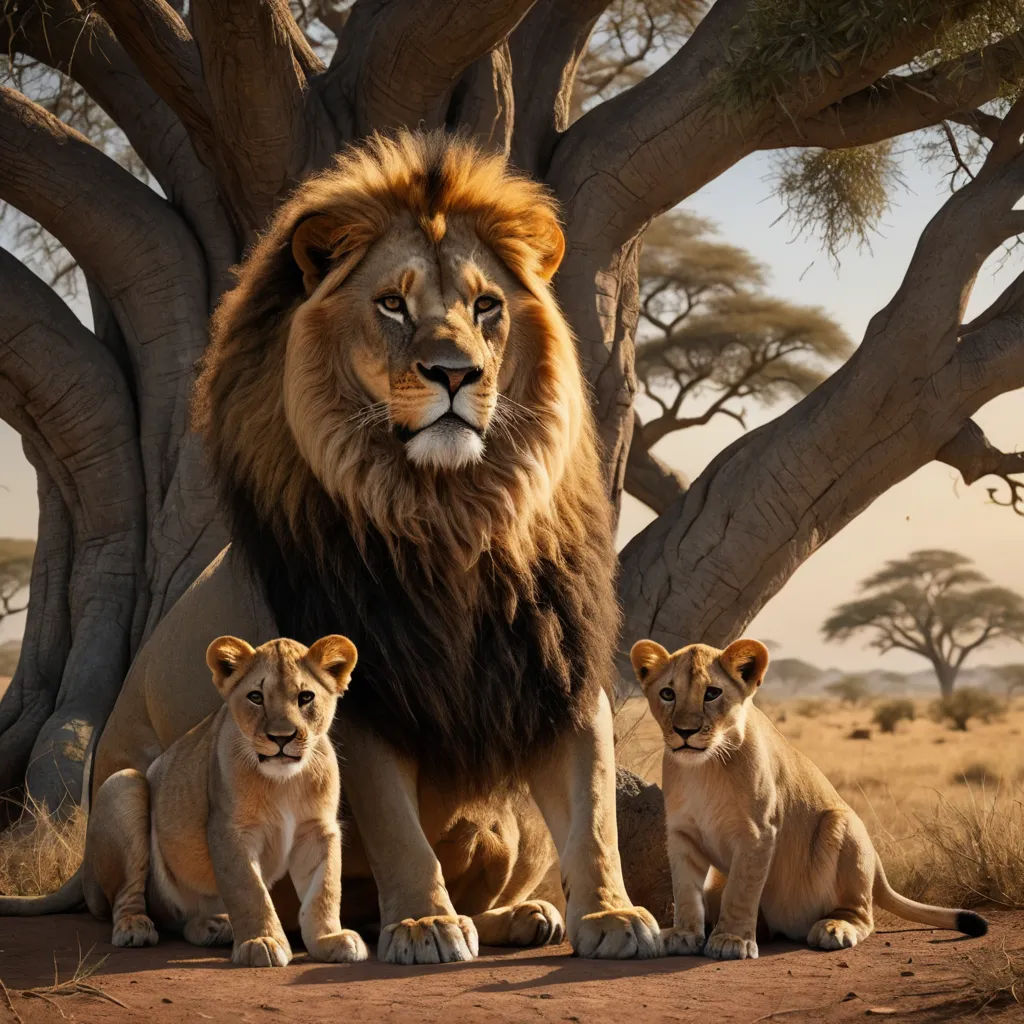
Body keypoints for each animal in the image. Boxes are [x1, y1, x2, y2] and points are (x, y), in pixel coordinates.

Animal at [2, 635, 366, 968]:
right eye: (256, 697)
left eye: (305, 697)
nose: (281, 738)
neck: (285, 781)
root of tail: (85, 868)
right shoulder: (228, 829)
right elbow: (249, 889)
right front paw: (261, 941)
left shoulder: (317, 830)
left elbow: (325, 889)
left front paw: (330, 939)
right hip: (125, 784)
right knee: (128, 900)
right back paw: (136, 928)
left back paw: (214, 926)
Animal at [90, 130, 658, 963]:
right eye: (392, 303)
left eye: (486, 306)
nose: (456, 373)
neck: (453, 516)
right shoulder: (366, 692)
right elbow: (397, 828)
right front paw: (423, 924)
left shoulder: (559, 666)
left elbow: (594, 815)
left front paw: (613, 915)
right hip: (123, 792)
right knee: (140, 888)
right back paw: (205, 922)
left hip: (503, 826)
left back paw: (521, 916)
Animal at [629, 638, 988, 959]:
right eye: (667, 693)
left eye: (712, 693)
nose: (685, 732)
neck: (704, 768)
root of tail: (877, 870)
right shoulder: (682, 832)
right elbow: (685, 890)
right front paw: (685, 935)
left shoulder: (758, 832)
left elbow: (741, 890)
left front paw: (732, 940)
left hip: (842, 824)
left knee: (862, 914)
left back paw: (833, 929)